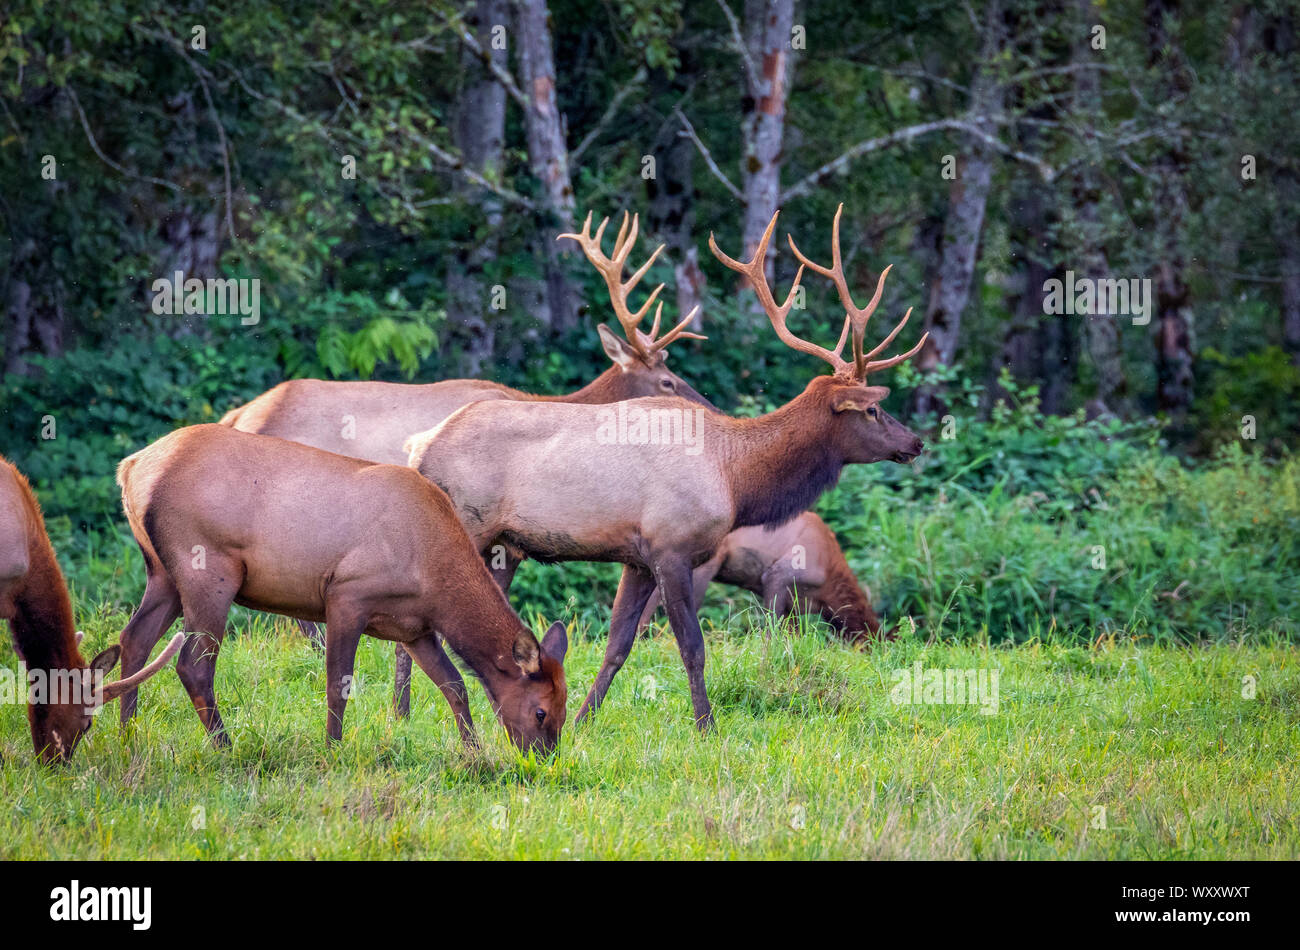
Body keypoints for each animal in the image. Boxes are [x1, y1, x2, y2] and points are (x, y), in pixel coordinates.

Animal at [112, 424, 568, 753]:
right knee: (192, 664)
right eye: (541, 713)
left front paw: (475, 754)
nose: (543, 758)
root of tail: (131, 469)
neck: (434, 578)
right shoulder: (347, 596)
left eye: (564, 709)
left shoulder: (414, 628)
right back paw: (224, 747)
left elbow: (454, 685)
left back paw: (127, 735)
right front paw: (333, 749)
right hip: (208, 570)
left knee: (134, 640)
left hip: (163, 574)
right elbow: (338, 683)